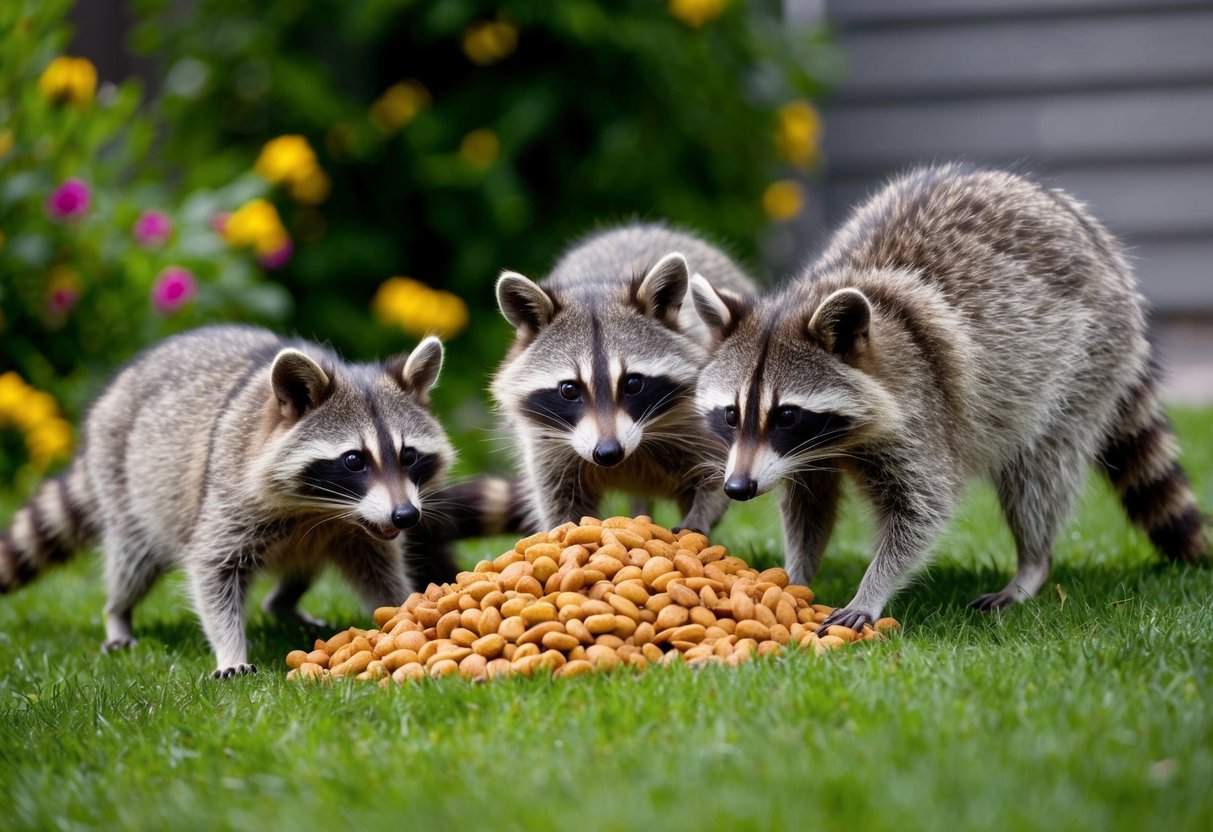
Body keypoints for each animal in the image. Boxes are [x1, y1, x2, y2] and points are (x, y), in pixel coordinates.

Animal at [0, 325, 454, 677]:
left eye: (409, 456)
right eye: (354, 460)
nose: (406, 515)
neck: (319, 509)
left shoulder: (356, 529)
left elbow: (380, 569)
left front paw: (403, 612)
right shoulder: (229, 493)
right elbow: (213, 569)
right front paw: (230, 648)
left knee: (304, 567)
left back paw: (283, 603)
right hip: (125, 480)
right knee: (133, 561)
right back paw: (117, 614)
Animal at [492, 222, 758, 532]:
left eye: (633, 383)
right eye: (569, 389)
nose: (608, 452)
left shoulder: (708, 419)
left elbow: (715, 481)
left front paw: (695, 523)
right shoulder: (546, 443)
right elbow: (558, 500)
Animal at [693, 164, 1207, 629]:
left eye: (786, 415)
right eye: (731, 414)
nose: (738, 488)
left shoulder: (924, 409)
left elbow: (922, 508)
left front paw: (871, 589)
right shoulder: (800, 456)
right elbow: (808, 504)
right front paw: (795, 576)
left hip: (1084, 361)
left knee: (1039, 474)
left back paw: (1032, 563)